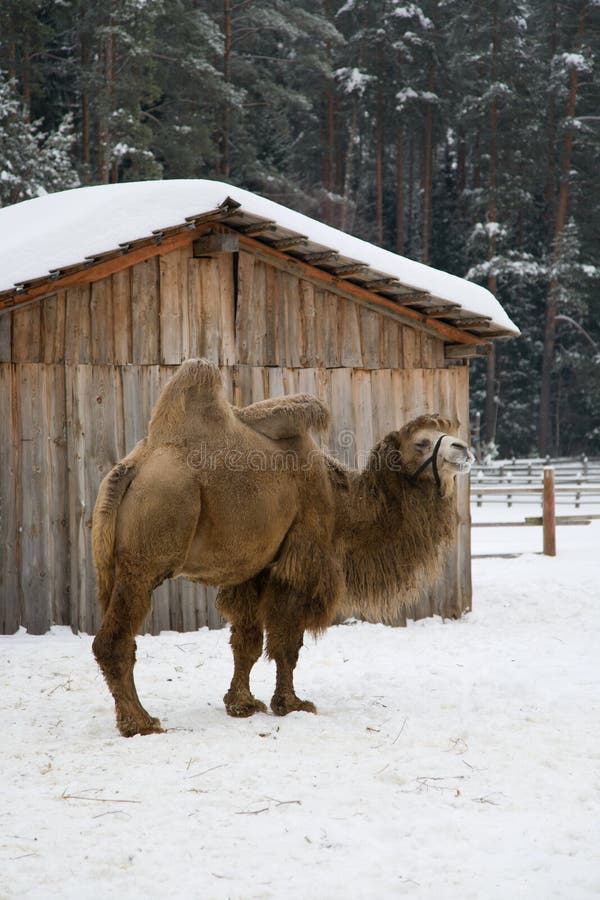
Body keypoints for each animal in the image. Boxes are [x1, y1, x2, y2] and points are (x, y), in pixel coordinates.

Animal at [92, 358, 474, 736]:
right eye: (421, 442)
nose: (463, 449)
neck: (340, 503)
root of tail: (131, 468)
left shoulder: (253, 566)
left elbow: (245, 642)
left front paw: (242, 704)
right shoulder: (301, 560)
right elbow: (287, 644)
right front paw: (292, 704)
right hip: (149, 547)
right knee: (113, 640)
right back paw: (140, 722)